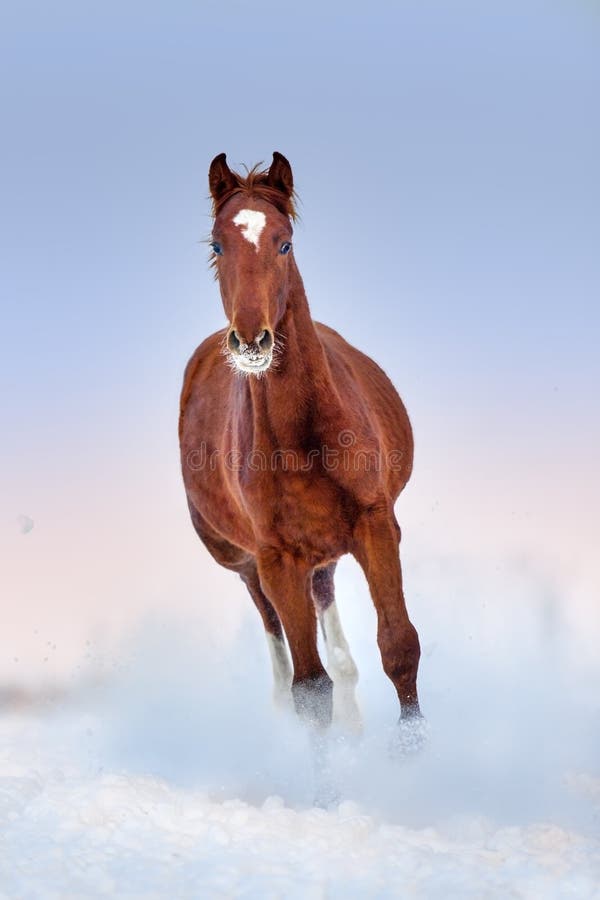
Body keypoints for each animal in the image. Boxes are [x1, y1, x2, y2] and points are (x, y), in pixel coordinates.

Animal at [179, 152, 422, 735]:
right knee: (279, 645)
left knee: (335, 624)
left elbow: (398, 645)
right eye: (217, 245)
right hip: (246, 565)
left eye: (284, 243)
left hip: (326, 552)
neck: (302, 433)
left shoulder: (377, 524)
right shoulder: (276, 559)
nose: (251, 341)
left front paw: (415, 748)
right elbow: (309, 689)